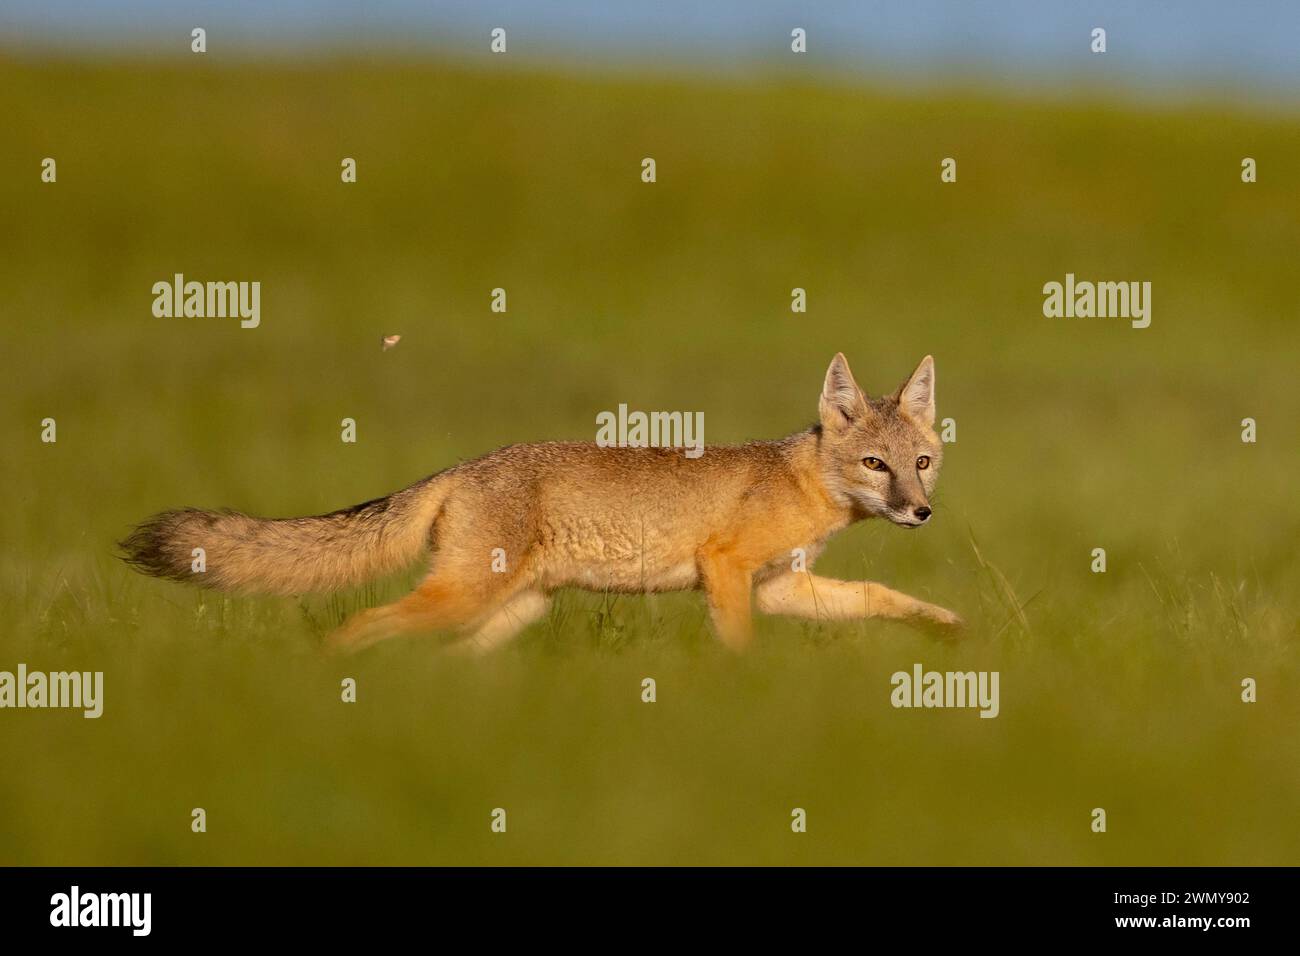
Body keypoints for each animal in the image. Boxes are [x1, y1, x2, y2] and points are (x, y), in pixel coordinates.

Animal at [121, 353, 963, 654]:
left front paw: (945, 625)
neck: (803, 480)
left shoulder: (782, 585)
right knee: (355, 629)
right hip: (462, 598)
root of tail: (461, 467)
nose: (921, 512)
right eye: (875, 465)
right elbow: (738, 644)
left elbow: (878, 595)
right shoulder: (726, 570)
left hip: (509, 611)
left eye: (922, 464)